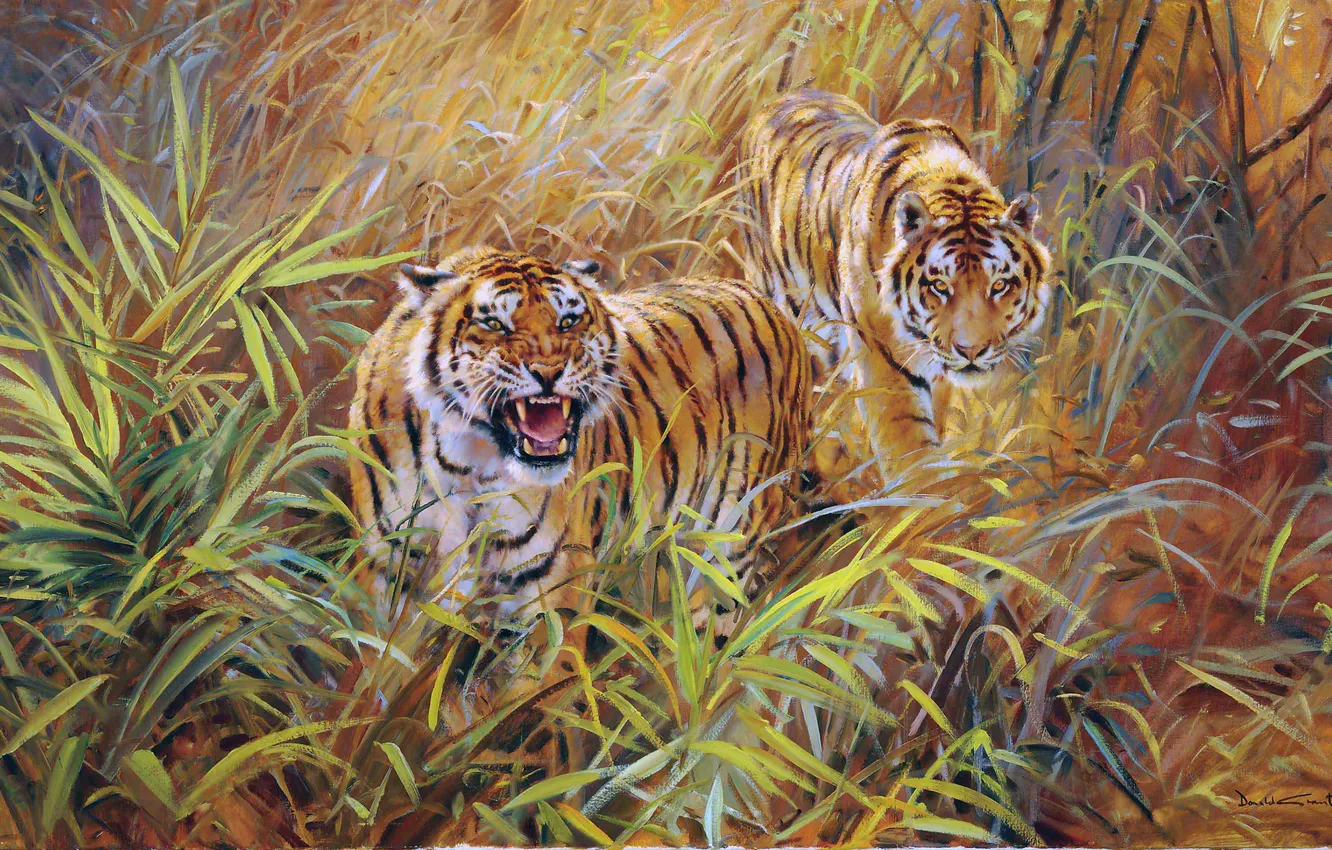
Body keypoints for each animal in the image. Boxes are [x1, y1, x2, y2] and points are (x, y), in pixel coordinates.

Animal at [347, 246, 812, 631]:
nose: (549, 370)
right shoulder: (386, 575)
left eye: (568, 320)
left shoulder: (551, 601)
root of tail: (763, 300)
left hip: (727, 551)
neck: (467, 464)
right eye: (494, 323)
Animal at [738, 89, 1052, 460]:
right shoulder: (887, 371)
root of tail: (784, 97)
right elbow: (913, 456)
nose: (971, 351)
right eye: (939, 286)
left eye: (1000, 285)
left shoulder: (938, 378)